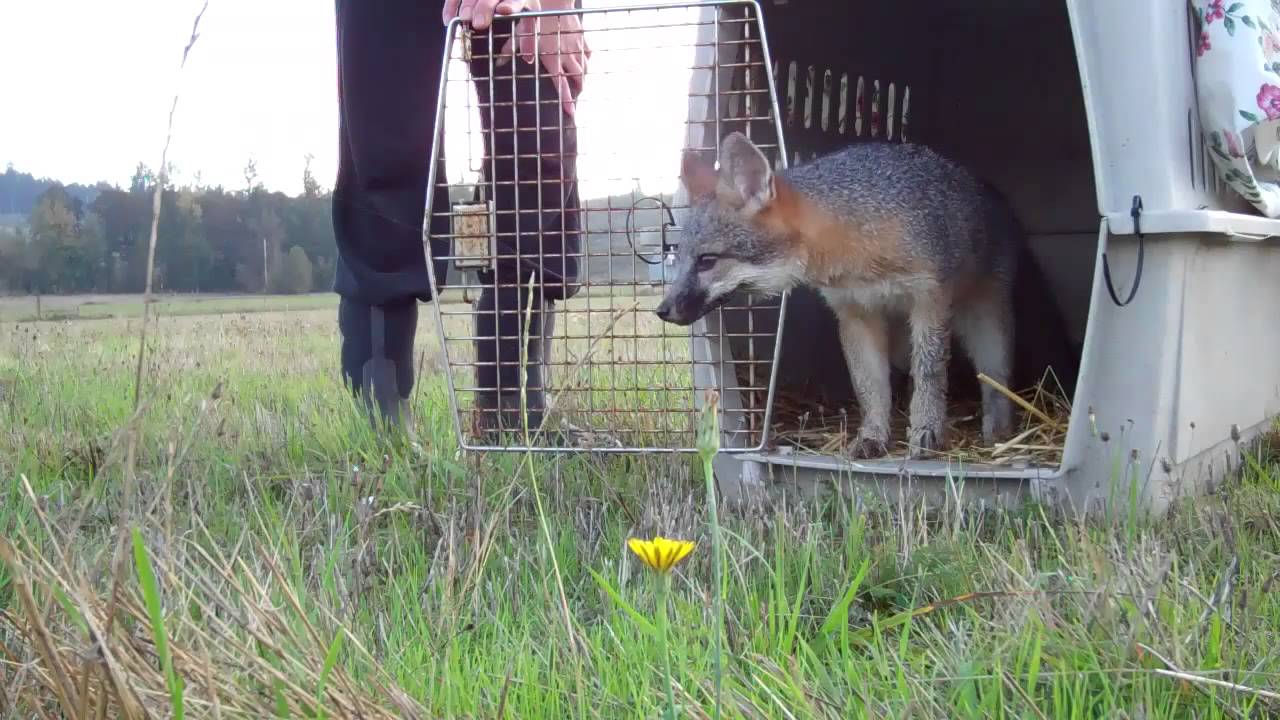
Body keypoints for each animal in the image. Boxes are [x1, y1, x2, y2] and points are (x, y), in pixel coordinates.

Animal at [654, 131, 1019, 459]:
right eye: (679, 257)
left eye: (707, 261)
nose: (662, 310)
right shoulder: (854, 311)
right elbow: (869, 385)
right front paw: (873, 436)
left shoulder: (930, 300)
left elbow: (930, 373)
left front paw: (926, 432)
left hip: (985, 324)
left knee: (994, 377)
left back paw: (999, 431)